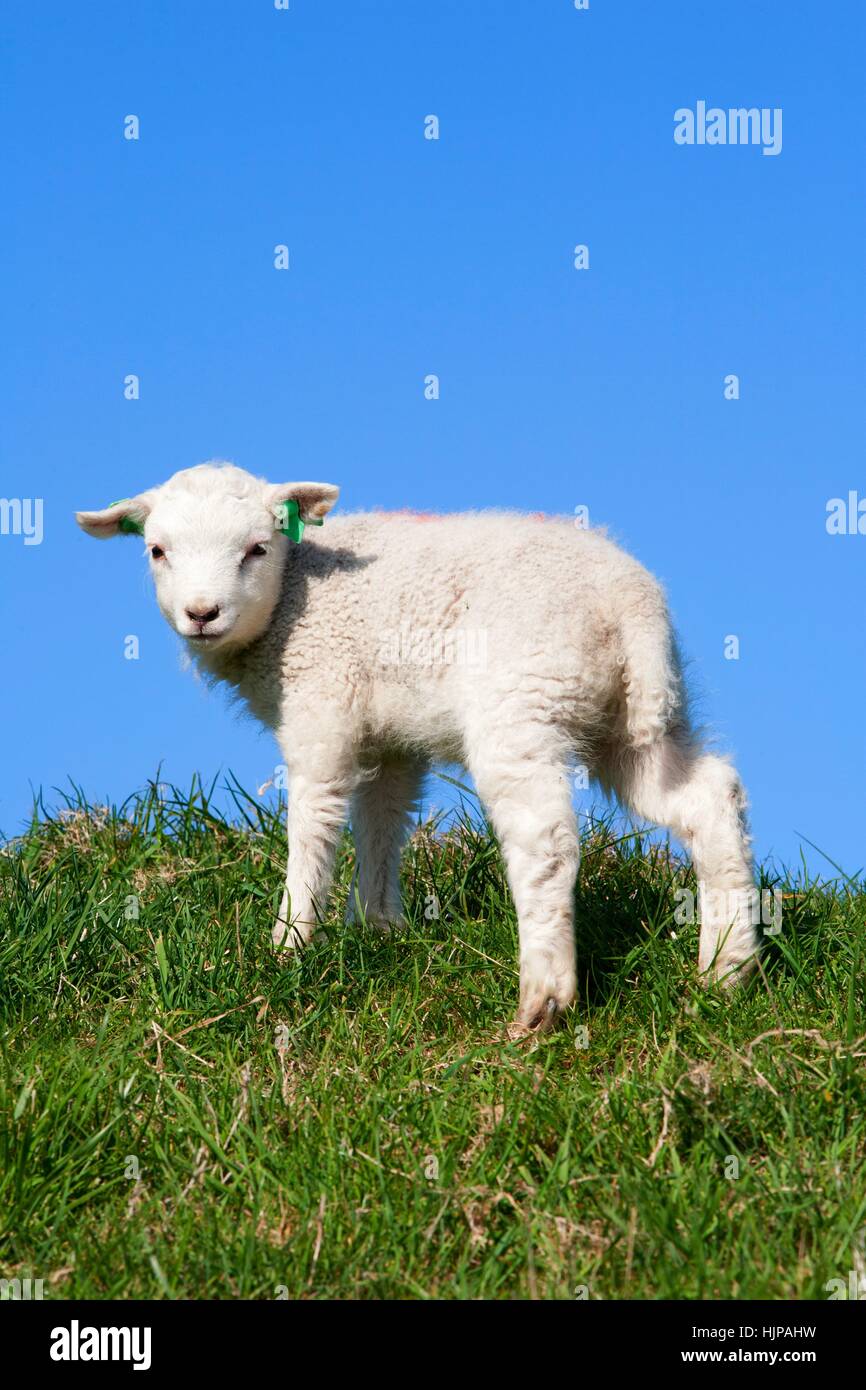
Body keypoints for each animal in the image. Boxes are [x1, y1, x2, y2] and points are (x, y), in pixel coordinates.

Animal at [76, 461, 759, 1032]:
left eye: (257, 549)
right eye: (157, 551)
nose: (202, 613)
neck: (294, 594)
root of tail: (633, 606)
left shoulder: (322, 704)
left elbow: (315, 821)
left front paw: (290, 943)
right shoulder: (389, 740)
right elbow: (382, 821)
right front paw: (379, 928)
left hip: (522, 701)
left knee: (546, 841)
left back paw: (542, 1000)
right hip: (630, 720)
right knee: (707, 798)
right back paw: (726, 971)